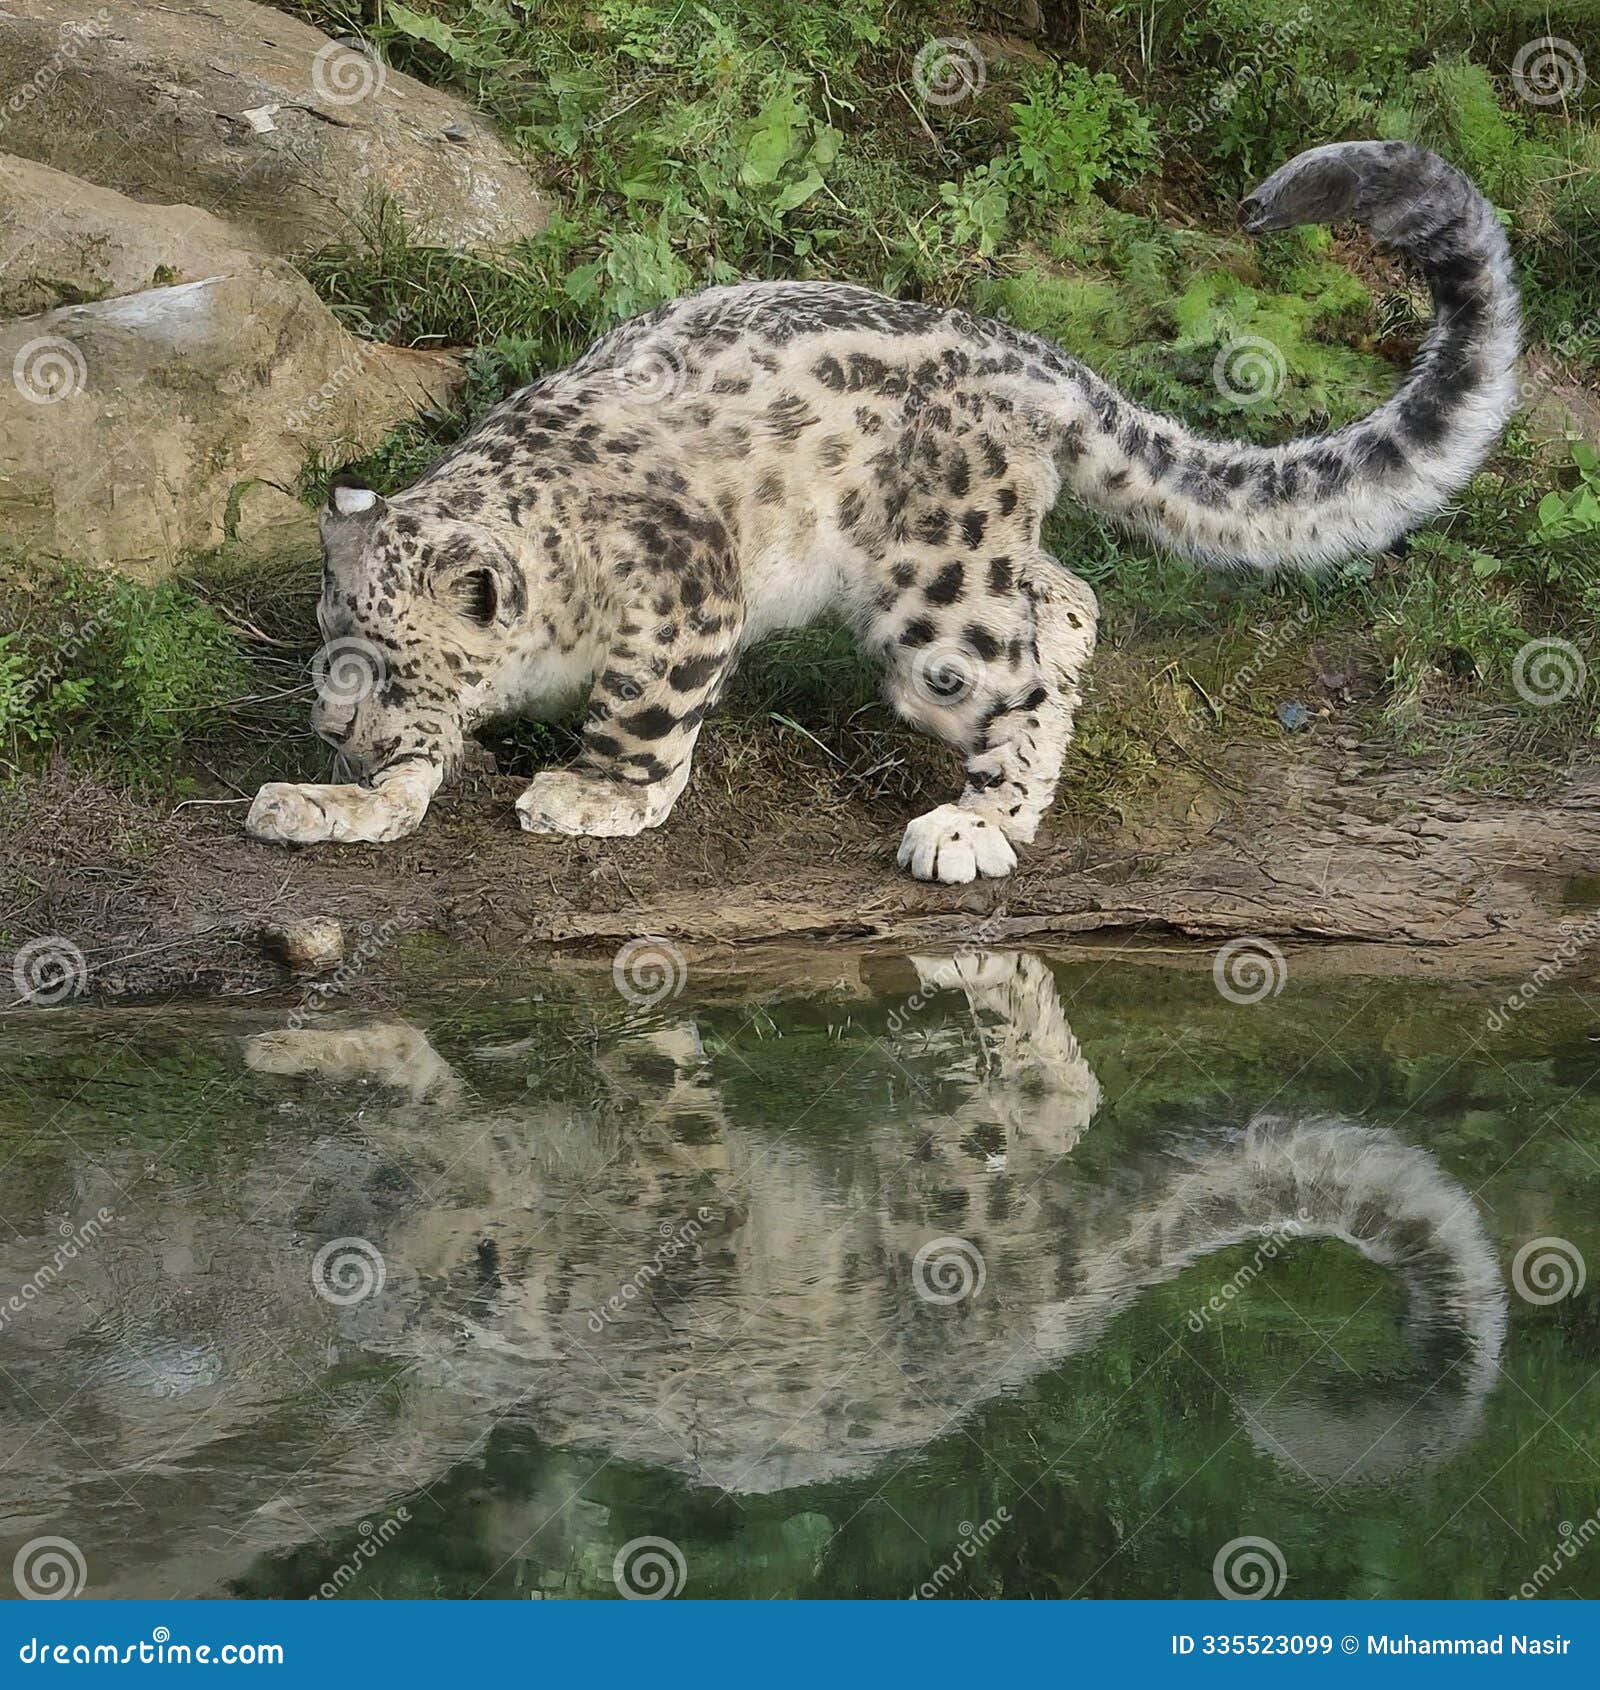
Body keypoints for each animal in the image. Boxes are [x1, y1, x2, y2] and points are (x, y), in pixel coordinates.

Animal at [246, 140, 1519, 884]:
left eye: (384, 659)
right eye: (325, 647)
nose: (329, 727)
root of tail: (1029, 354)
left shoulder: (686, 583)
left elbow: (642, 709)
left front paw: (594, 792)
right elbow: (412, 778)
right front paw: (324, 803)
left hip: (933, 603)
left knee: (1013, 675)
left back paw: (977, 826)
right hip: (980, 556)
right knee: (1062, 593)